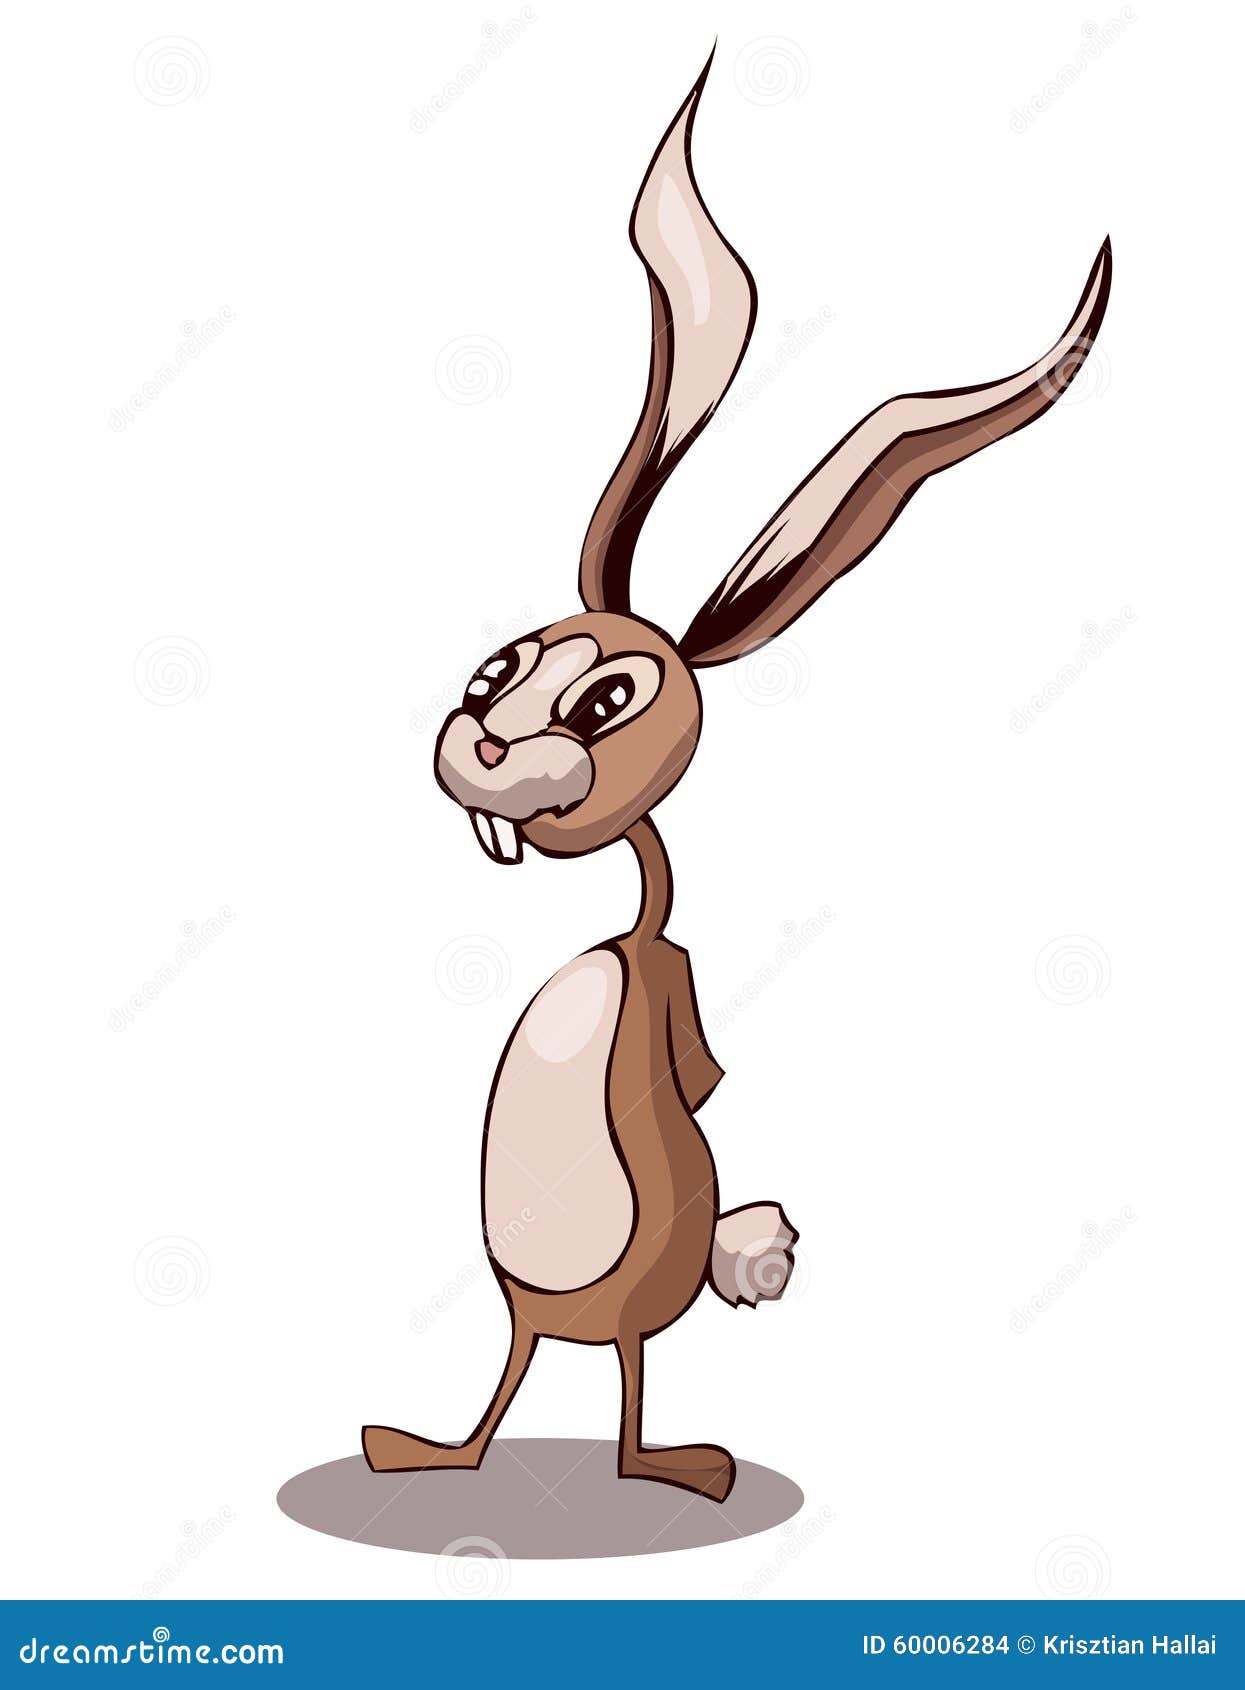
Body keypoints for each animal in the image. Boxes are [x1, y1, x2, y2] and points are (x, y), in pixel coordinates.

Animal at [362, 53, 1111, 1503]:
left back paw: (664, 1464)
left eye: (606, 701)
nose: (483, 746)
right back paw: (444, 1452)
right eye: (500, 668)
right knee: (527, 1358)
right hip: (539, 1301)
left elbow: (703, 1079)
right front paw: (427, 1450)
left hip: (628, 1292)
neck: (621, 945)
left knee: (629, 1370)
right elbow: (502, 1366)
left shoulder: (675, 998)